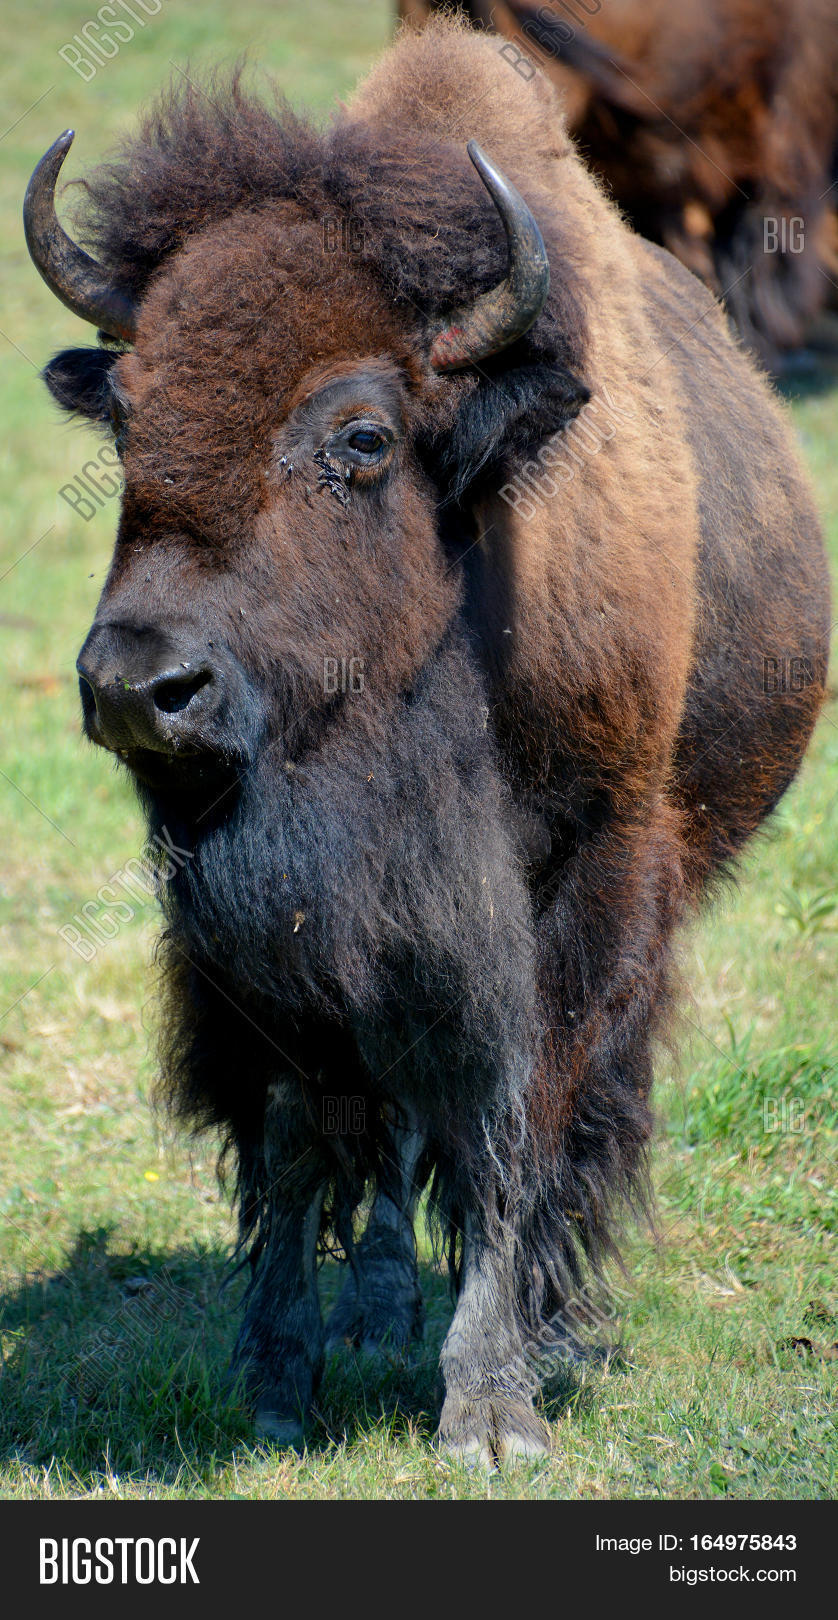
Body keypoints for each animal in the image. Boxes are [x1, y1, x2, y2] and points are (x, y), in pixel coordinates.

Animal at [25, 18, 829, 1463]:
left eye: (361, 437)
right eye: (130, 414)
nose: (135, 687)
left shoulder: (577, 892)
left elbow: (517, 1122)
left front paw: (494, 1408)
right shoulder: (263, 934)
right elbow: (301, 1130)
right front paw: (280, 1376)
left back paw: (544, 1328)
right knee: (390, 1131)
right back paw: (379, 1313)